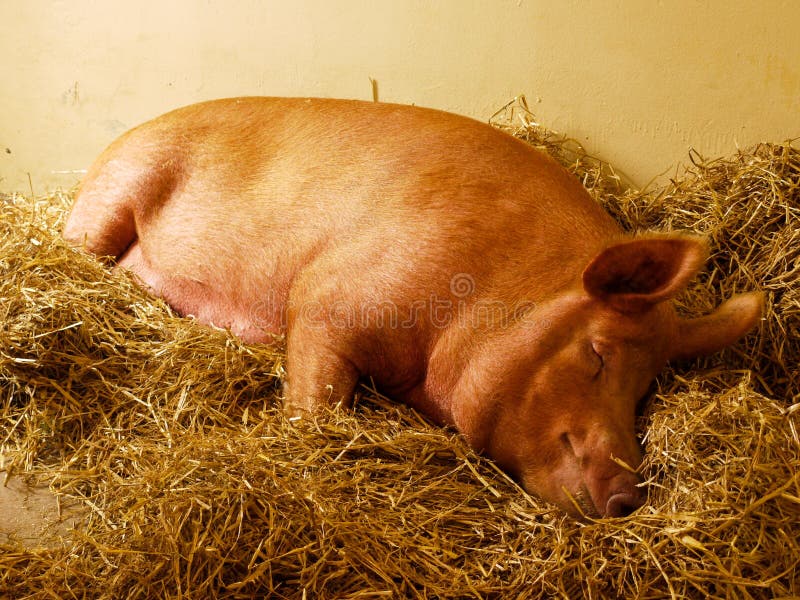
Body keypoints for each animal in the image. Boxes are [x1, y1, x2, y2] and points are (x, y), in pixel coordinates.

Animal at [63, 97, 763, 518]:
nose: (627, 497)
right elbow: (315, 406)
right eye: (596, 353)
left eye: (649, 387)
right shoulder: (326, 302)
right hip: (114, 192)